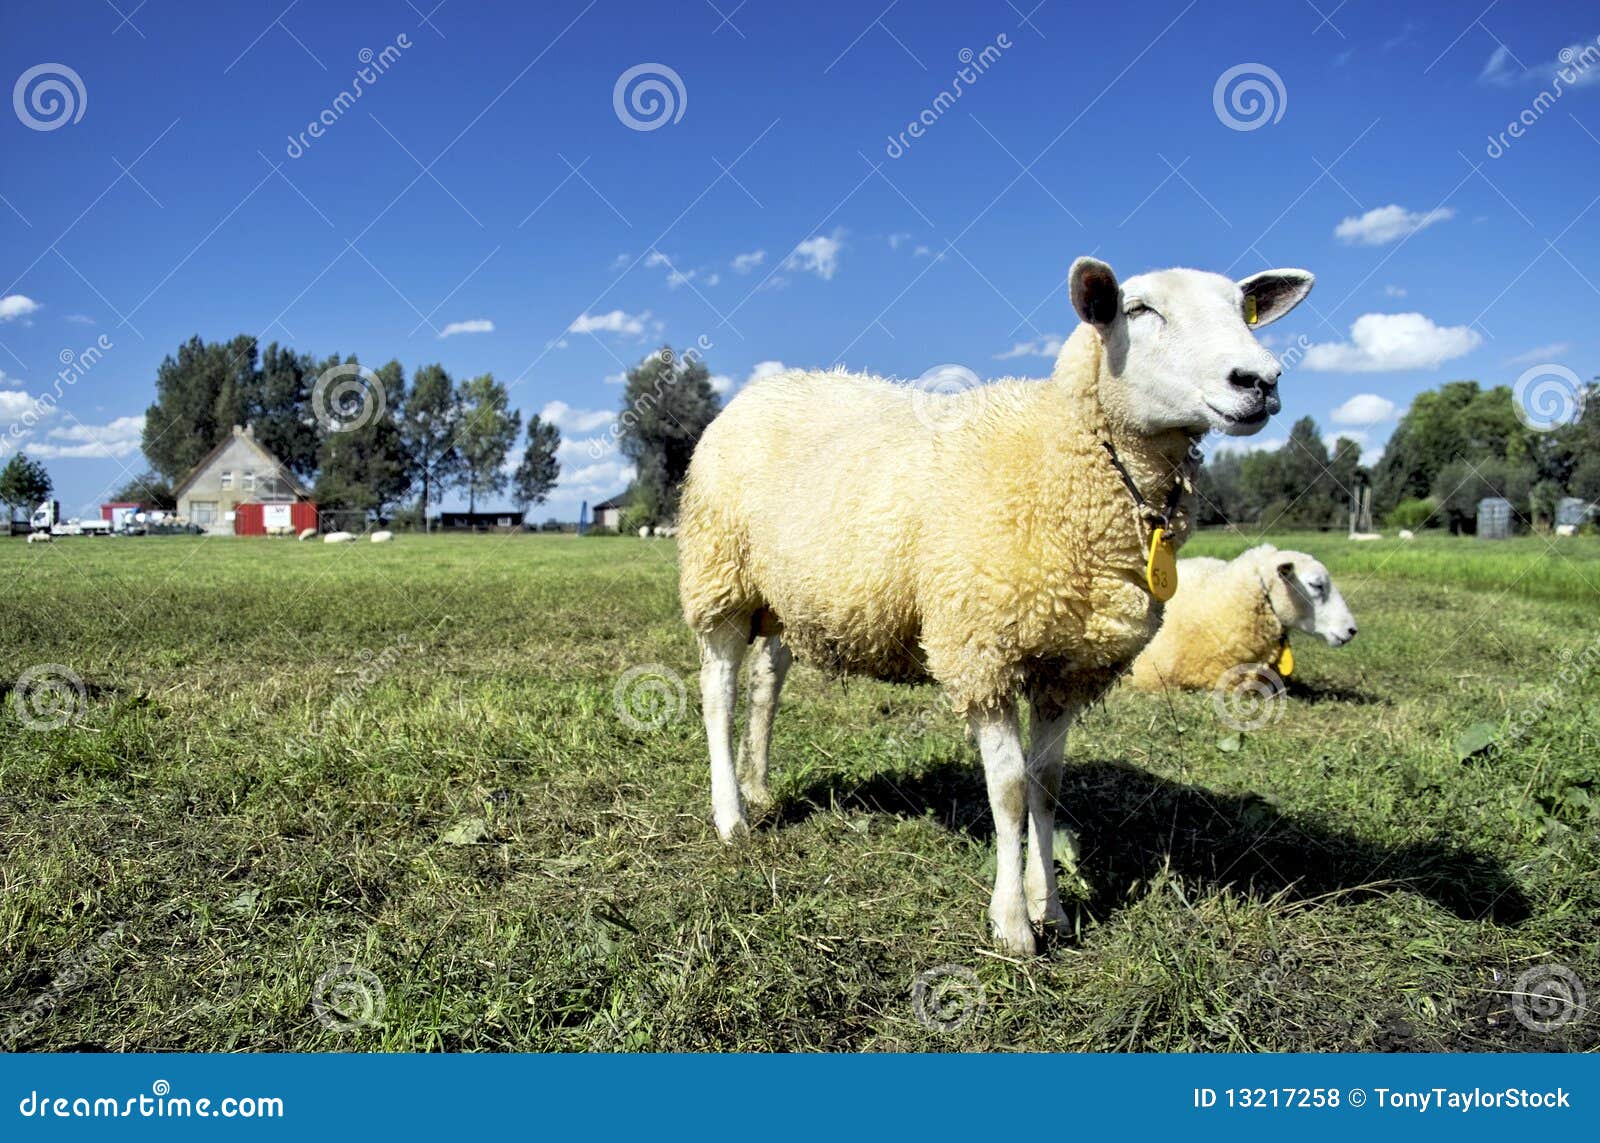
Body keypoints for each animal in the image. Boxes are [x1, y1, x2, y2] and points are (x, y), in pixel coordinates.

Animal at [678, 256, 1313, 953]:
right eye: (1140, 310)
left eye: (1240, 310)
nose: (1260, 380)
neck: (1067, 462)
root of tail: (757, 390)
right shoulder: (984, 649)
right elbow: (1008, 792)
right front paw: (1012, 926)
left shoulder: (1070, 666)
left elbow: (1048, 786)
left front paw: (1052, 907)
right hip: (720, 579)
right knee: (719, 694)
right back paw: (732, 816)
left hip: (788, 600)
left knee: (765, 688)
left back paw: (759, 786)